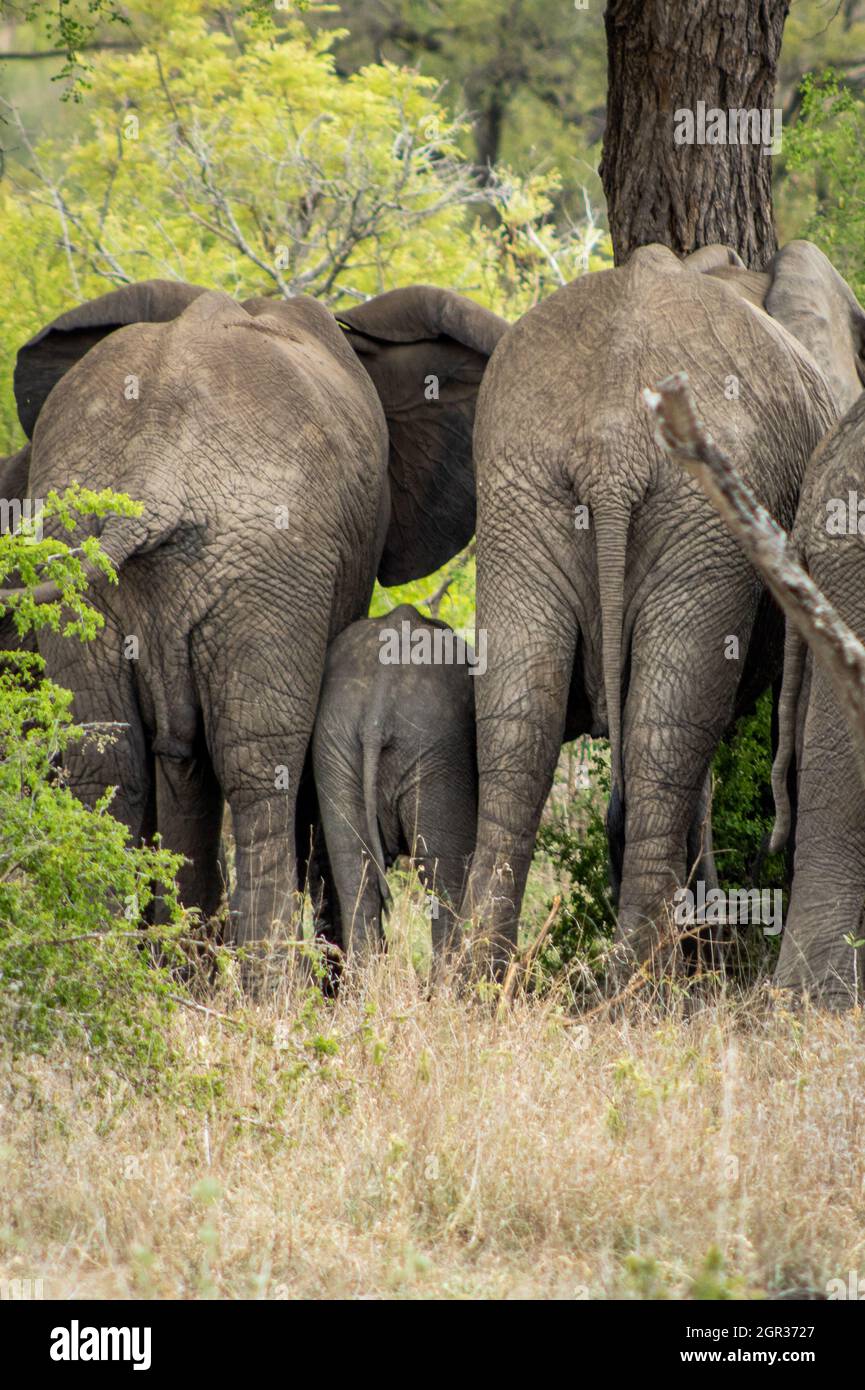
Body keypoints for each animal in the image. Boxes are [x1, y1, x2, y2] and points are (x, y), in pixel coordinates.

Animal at [462, 240, 865, 977]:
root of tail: (609, 440)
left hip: (518, 488)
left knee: (516, 728)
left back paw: (474, 982)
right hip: (699, 508)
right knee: (663, 738)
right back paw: (644, 985)